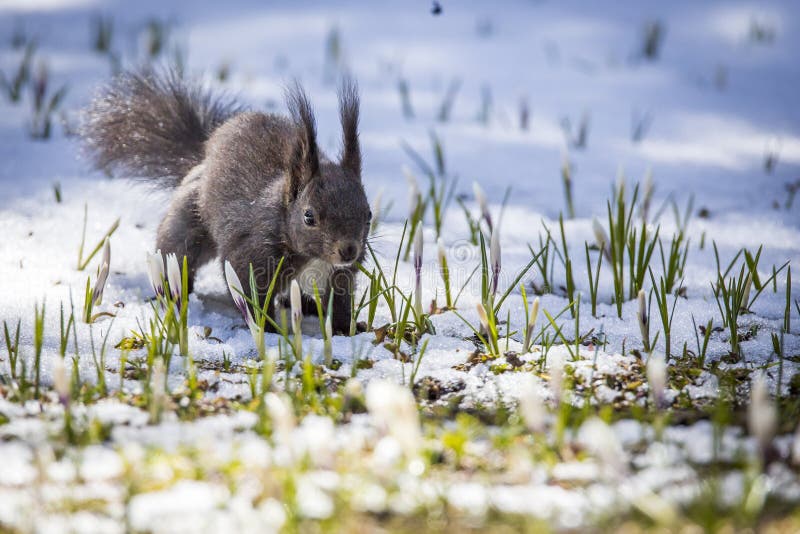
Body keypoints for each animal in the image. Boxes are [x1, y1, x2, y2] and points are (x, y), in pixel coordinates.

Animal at [80, 69, 371, 334]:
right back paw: (172, 293)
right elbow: (251, 296)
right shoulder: (251, 253)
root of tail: (202, 155)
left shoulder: (340, 275)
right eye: (309, 216)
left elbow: (340, 301)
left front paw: (347, 329)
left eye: (368, 215)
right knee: (176, 251)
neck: (311, 256)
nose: (349, 250)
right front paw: (269, 330)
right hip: (188, 222)